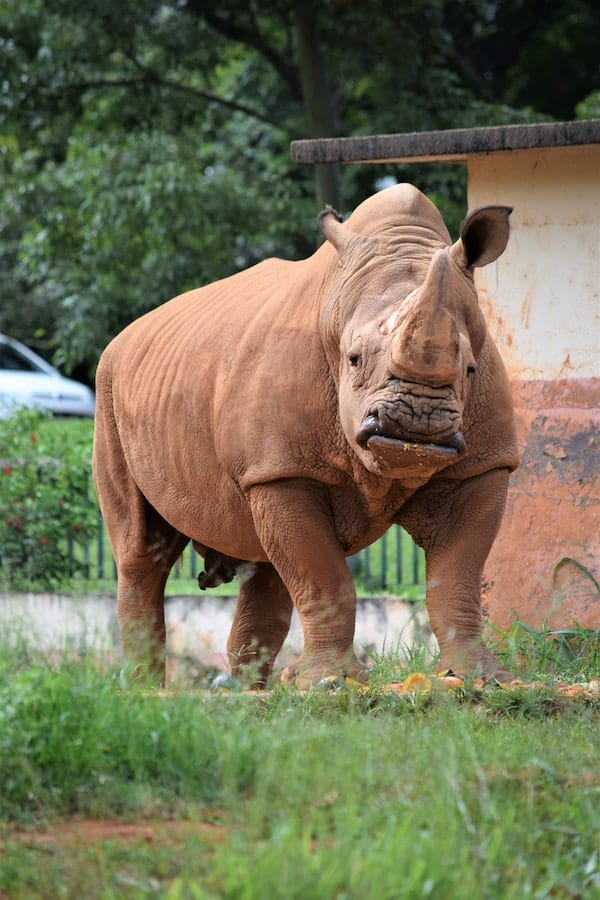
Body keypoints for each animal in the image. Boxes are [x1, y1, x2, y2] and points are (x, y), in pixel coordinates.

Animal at [93, 183, 518, 688]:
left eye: (469, 369)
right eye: (353, 359)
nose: (417, 420)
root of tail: (128, 334)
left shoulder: (482, 465)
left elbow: (458, 575)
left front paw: (480, 678)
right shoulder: (281, 468)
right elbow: (323, 575)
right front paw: (329, 683)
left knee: (267, 561)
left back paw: (248, 691)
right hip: (109, 390)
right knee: (142, 551)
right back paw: (147, 691)